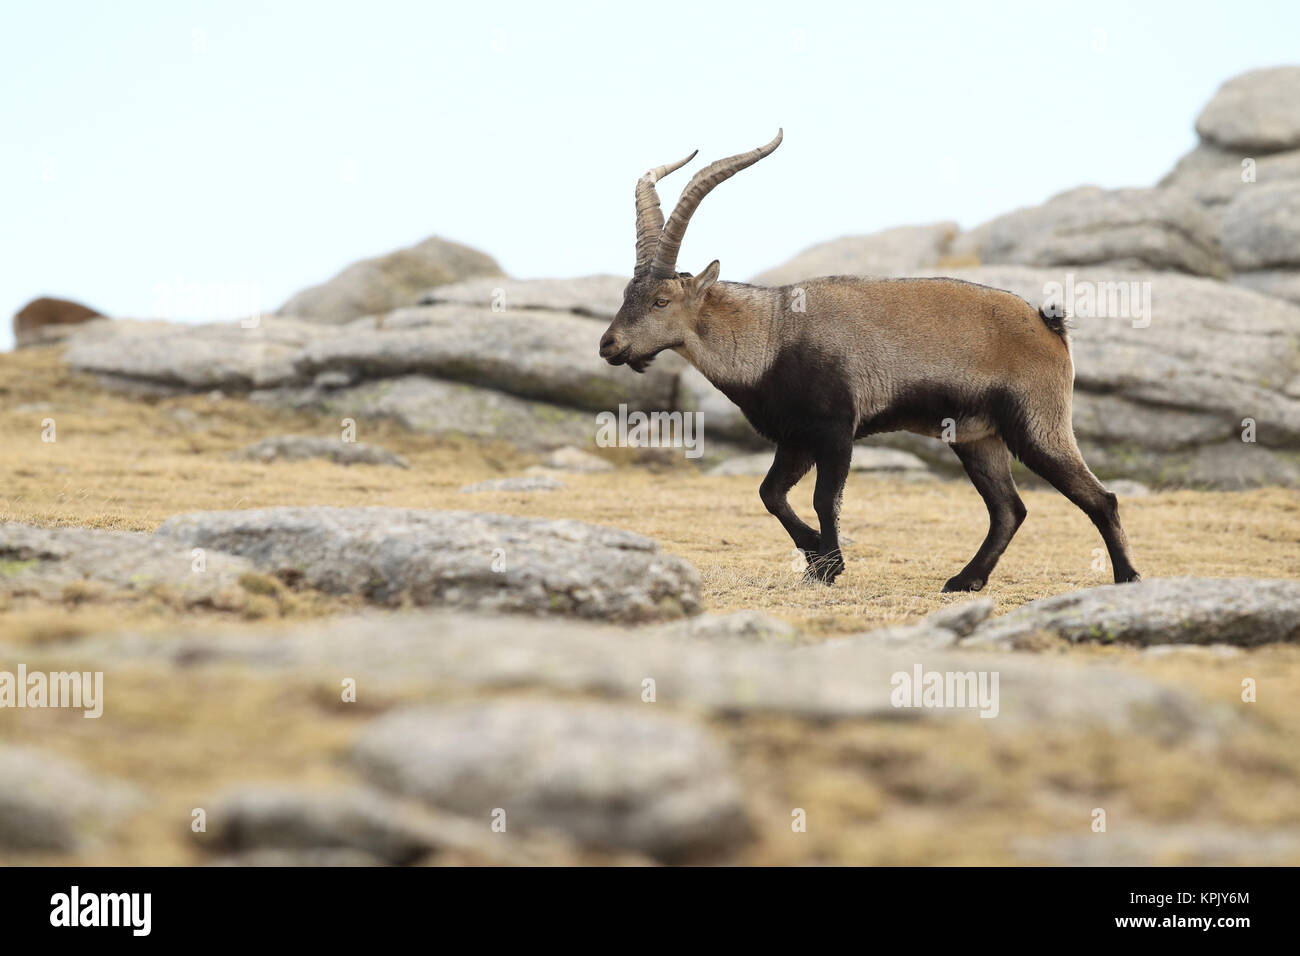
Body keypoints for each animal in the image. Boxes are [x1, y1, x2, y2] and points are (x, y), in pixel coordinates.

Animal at [598, 131, 1140, 591]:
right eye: (627, 293)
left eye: (661, 301)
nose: (609, 345)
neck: (772, 335)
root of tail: (1049, 326)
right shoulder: (797, 437)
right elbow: (771, 494)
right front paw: (817, 561)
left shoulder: (836, 428)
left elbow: (823, 498)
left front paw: (829, 566)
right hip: (978, 438)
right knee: (1009, 509)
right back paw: (964, 580)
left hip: (1037, 425)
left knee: (1100, 498)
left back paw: (1126, 578)